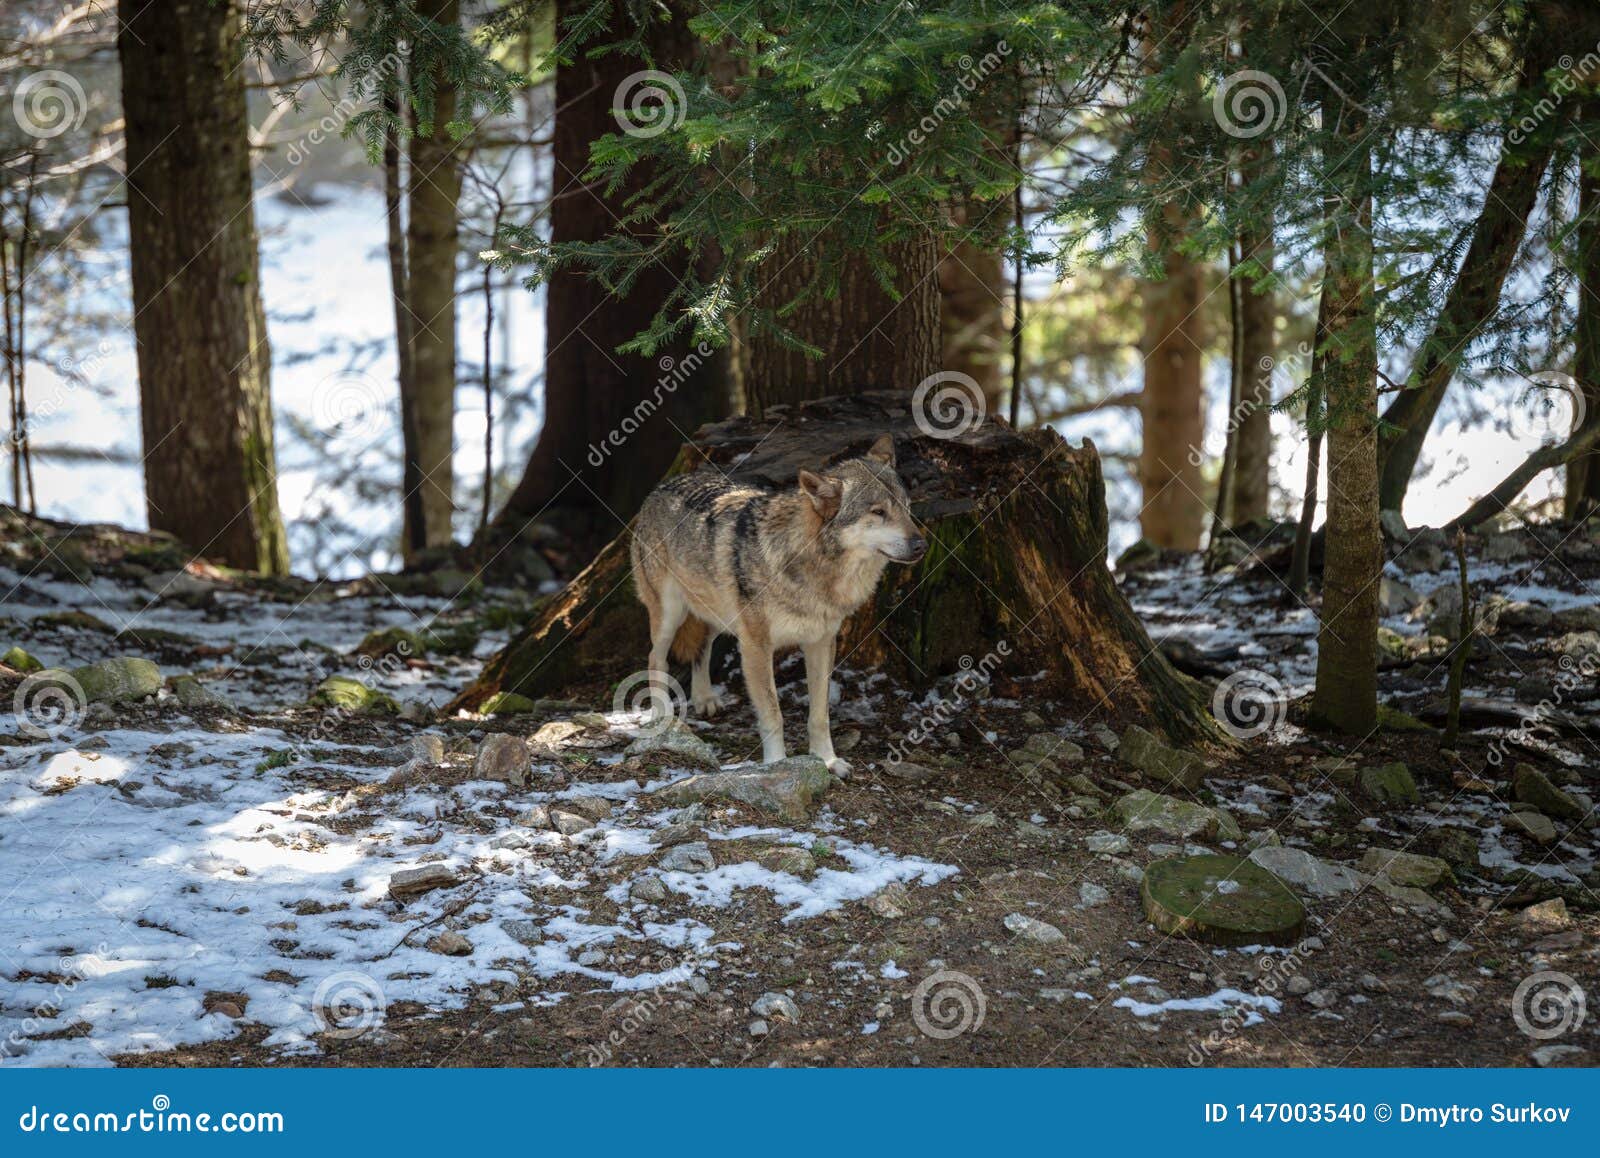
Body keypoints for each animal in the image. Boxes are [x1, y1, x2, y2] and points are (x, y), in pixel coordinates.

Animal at [630, 434, 926, 775]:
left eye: (906, 508)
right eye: (878, 512)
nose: (922, 545)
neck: (813, 567)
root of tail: (662, 486)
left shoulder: (821, 643)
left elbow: (819, 715)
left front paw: (828, 761)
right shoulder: (757, 647)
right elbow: (773, 715)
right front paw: (778, 765)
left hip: (721, 616)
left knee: (701, 648)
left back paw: (704, 699)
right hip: (672, 614)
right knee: (655, 658)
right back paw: (662, 716)